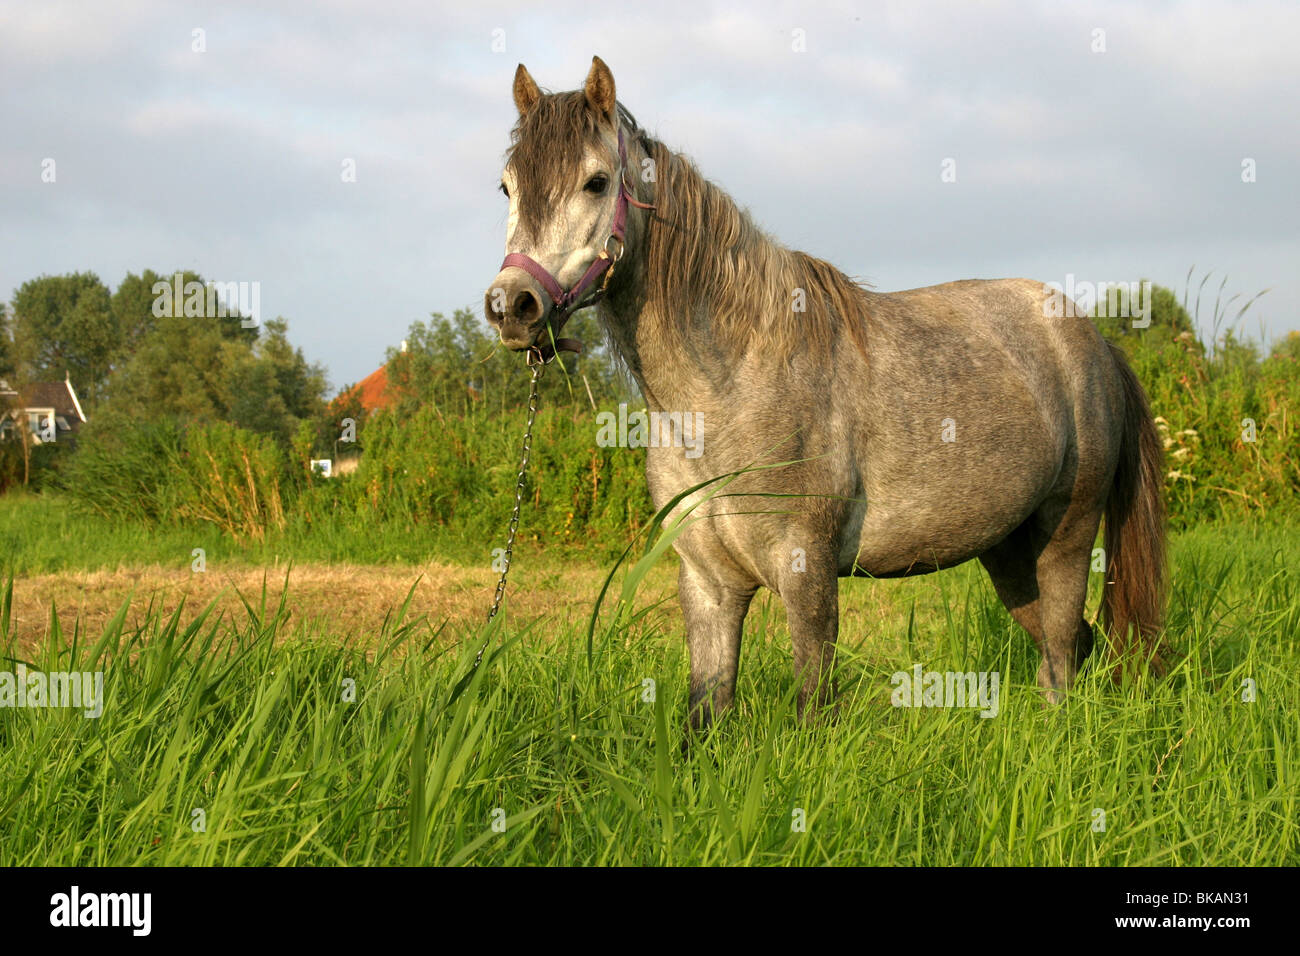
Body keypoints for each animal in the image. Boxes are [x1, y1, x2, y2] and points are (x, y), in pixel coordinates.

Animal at [484, 56, 1166, 732]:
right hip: (1006, 552)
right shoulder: (707, 583)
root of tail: (1093, 342)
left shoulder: (806, 569)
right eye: (507, 188)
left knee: (1060, 658)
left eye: (596, 182)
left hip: (1066, 536)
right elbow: (704, 715)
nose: (512, 306)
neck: (731, 386)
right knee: (1067, 646)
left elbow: (813, 702)